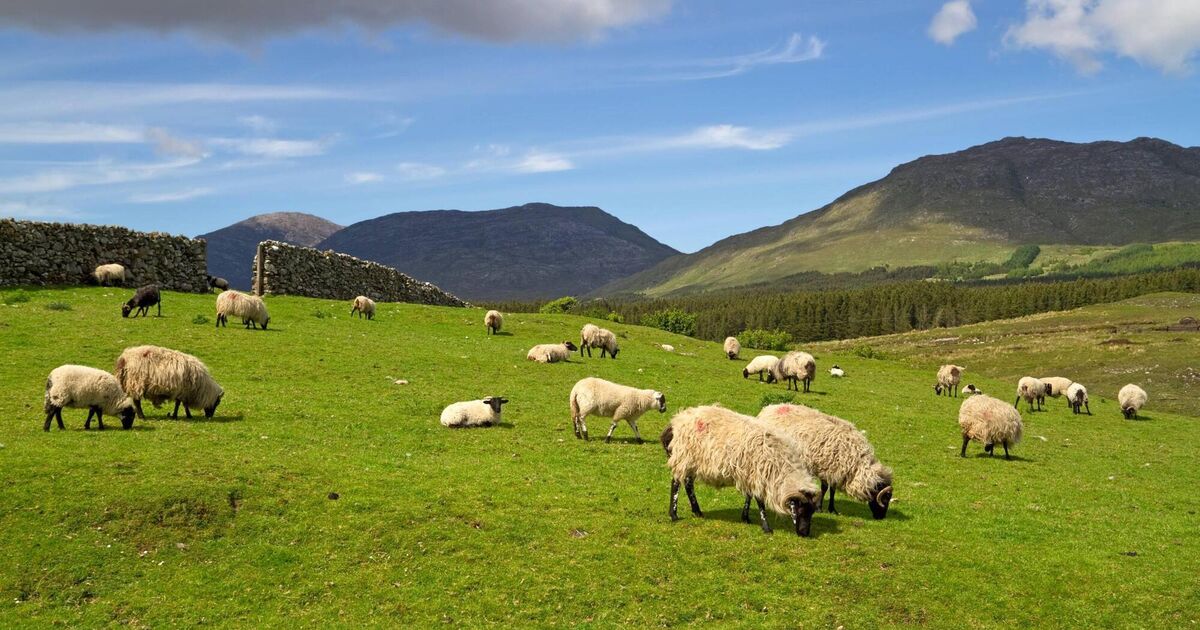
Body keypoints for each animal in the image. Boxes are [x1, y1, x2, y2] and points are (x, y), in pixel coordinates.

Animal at [660, 405, 820, 536]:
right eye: (801, 509)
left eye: (813, 512)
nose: (804, 534)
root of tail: (675, 422)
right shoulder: (757, 474)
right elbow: (760, 502)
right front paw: (766, 528)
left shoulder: (749, 474)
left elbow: (749, 496)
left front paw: (745, 517)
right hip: (682, 457)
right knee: (676, 483)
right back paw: (673, 514)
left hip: (692, 462)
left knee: (688, 484)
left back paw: (697, 511)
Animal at [757, 403, 894, 519]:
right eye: (885, 498)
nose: (881, 517)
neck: (857, 464)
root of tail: (770, 407)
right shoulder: (824, 467)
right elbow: (824, 488)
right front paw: (819, 508)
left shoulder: (835, 470)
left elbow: (832, 490)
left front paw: (832, 509)